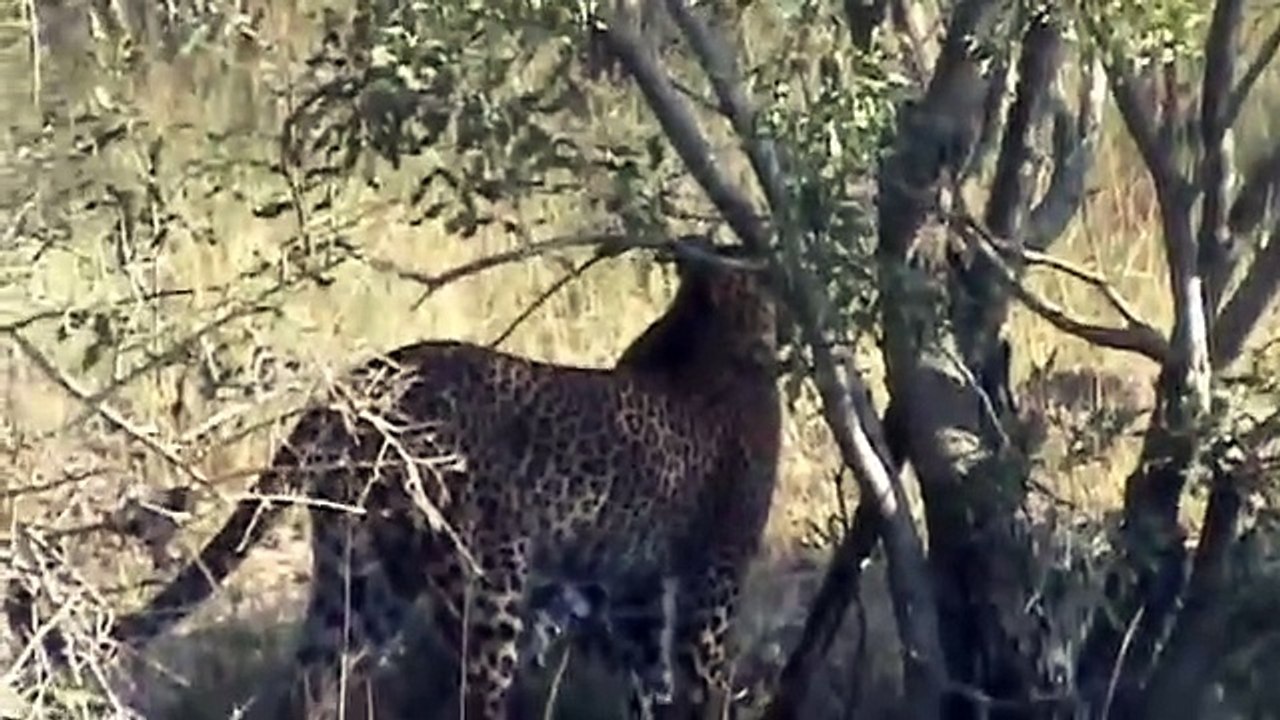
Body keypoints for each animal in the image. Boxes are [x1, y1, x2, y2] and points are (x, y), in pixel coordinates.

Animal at [7, 239, 782, 720]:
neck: (708, 330)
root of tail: (355, 384)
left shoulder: (637, 590)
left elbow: (649, 687)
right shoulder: (714, 577)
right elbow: (702, 684)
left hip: (359, 579)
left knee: (309, 685)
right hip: (483, 581)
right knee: (473, 699)